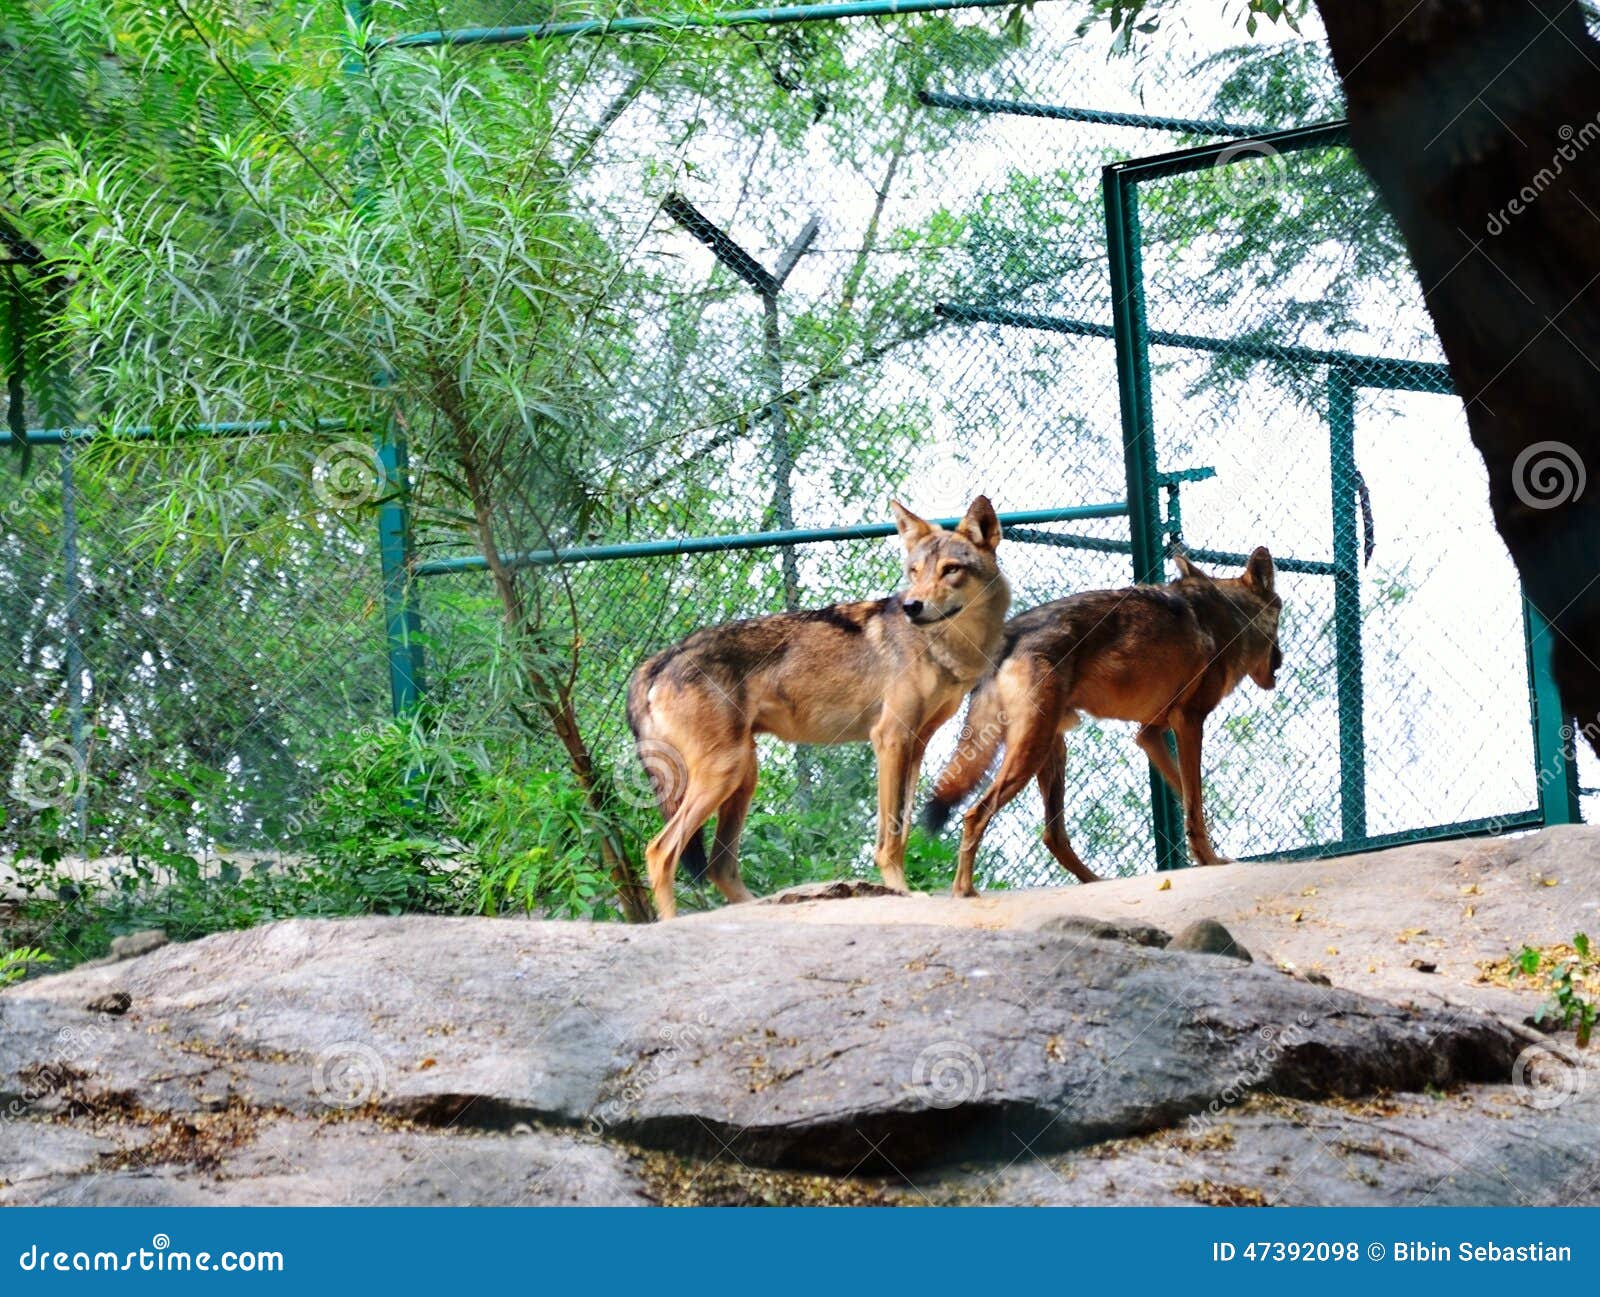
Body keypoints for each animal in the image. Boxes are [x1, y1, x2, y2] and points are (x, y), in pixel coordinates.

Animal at [627, 496, 1011, 919]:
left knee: (719, 866)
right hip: (722, 773)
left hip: (742, 776)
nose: (912, 605)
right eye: (914, 571)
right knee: (659, 852)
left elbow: (904, 826)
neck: (948, 647)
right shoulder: (890, 738)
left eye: (950, 569)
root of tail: (656, 661)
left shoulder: (916, 743)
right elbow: (890, 837)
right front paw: (901, 891)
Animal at [923, 547, 1282, 896]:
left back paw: (1094, 881)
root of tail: (1010, 633)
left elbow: (1186, 793)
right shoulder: (1189, 722)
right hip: (1030, 753)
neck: (1232, 617)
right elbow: (1194, 801)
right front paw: (1209, 858)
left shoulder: (1149, 734)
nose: (1280, 661)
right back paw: (964, 891)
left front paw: (1207, 851)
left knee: (1052, 835)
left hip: (1052, 753)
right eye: (1280, 620)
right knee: (975, 814)